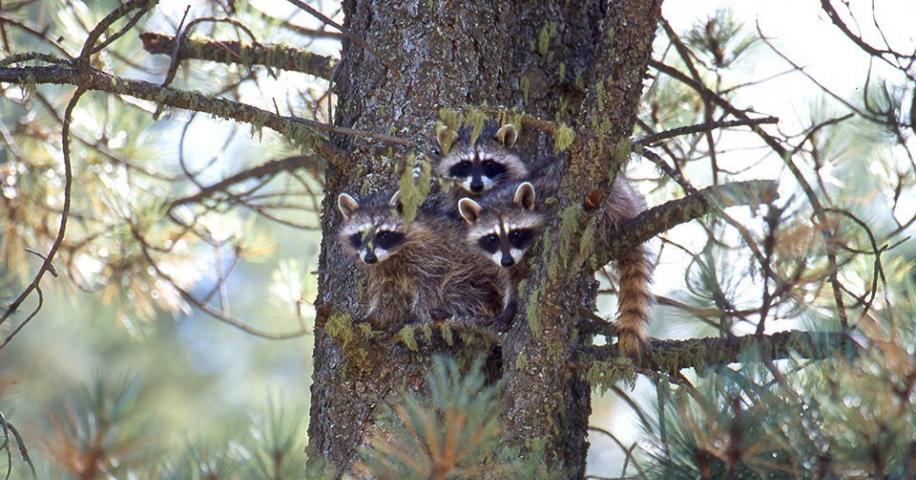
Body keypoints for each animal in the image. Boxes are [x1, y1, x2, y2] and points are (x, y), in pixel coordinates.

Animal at [337, 190, 509, 330]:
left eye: (384, 234)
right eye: (361, 235)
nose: (370, 258)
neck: (392, 254)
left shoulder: (432, 256)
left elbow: (429, 288)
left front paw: (416, 315)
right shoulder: (383, 270)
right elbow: (388, 295)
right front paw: (376, 317)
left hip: (473, 272)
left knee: (454, 289)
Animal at [458, 177, 654, 359]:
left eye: (515, 233)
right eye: (492, 238)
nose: (507, 261)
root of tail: (632, 207)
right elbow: (513, 280)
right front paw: (509, 310)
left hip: (611, 203)